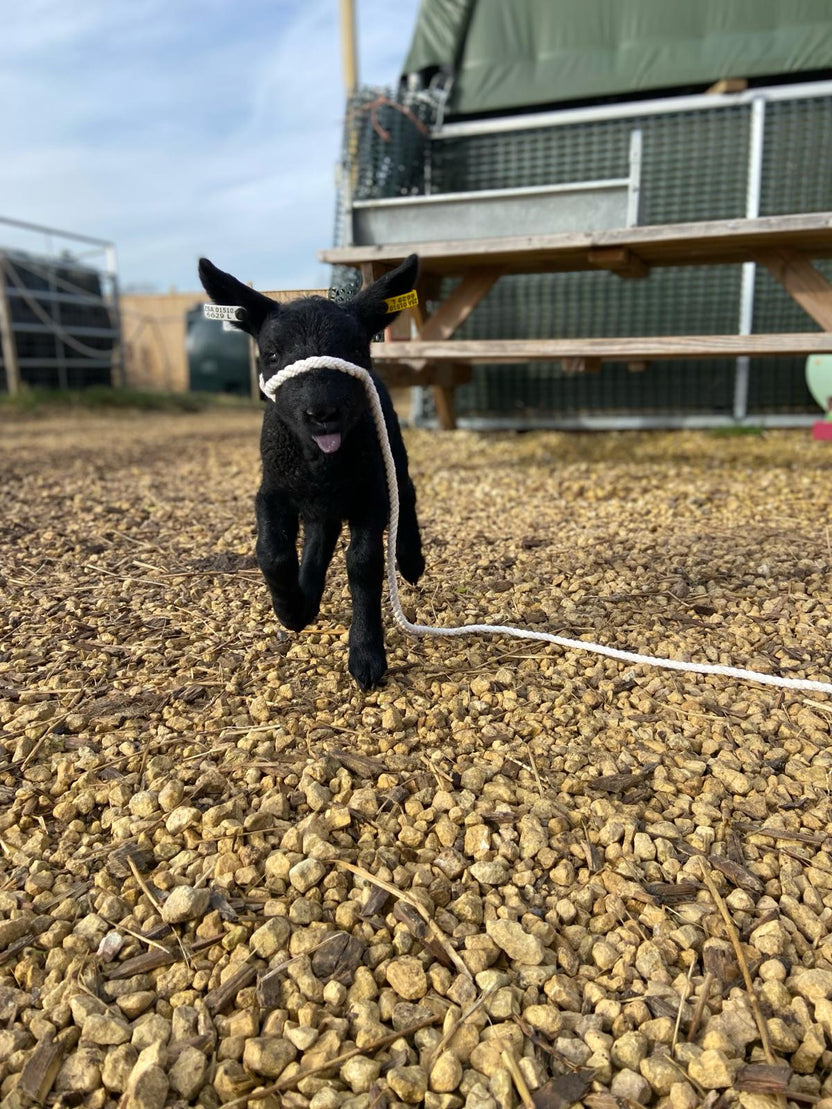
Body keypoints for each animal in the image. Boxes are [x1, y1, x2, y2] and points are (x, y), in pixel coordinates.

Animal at [198, 254, 425, 689]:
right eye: (271, 354)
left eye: (356, 348)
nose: (322, 413)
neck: (320, 460)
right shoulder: (272, 490)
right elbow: (272, 553)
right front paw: (289, 609)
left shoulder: (369, 494)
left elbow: (363, 564)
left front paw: (366, 655)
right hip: (319, 500)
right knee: (321, 535)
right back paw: (306, 597)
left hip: (392, 452)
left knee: (406, 490)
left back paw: (410, 559)